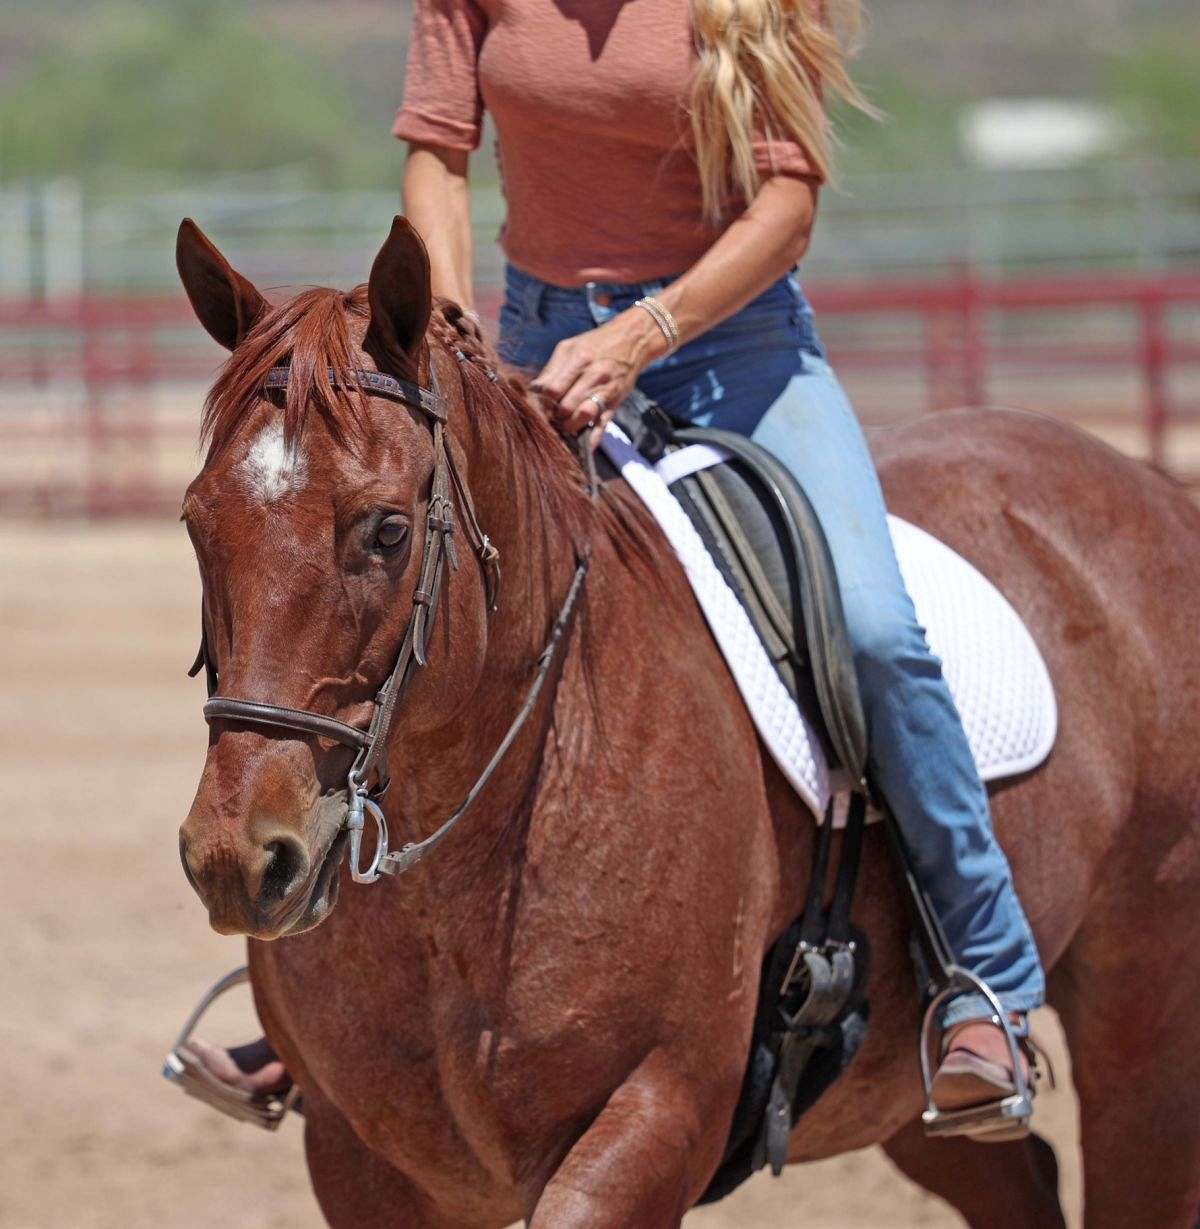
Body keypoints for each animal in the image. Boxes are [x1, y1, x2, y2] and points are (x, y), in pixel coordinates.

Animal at [175, 215, 1200, 1228]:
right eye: (196, 521)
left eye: (387, 528)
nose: (239, 857)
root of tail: (1152, 490)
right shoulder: (357, 1158)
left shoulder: (652, 1120)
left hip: (1145, 1043)